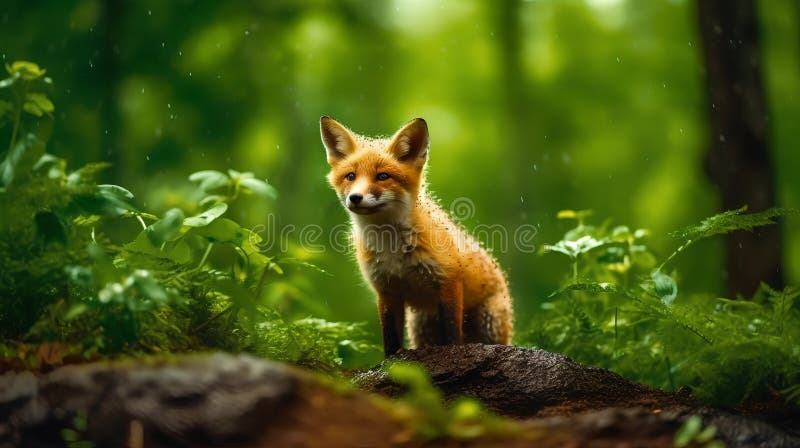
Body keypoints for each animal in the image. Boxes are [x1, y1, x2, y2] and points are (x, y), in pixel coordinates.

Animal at [320, 116, 513, 356]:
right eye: (350, 176)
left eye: (382, 176)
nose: (355, 197)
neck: (391, 247)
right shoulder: (386, 290)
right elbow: (390, 337)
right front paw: (392, 361)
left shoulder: (448, 280)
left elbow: (451, 332)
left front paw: (453, 353)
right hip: (420, 325)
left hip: (488, 322)